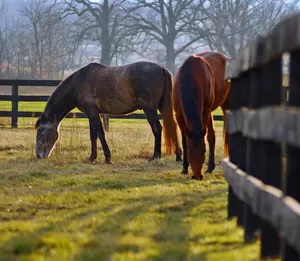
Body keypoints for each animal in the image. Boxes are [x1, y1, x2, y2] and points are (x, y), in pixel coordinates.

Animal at [34, 61, 182, 161]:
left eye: (40, 131)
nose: (38, 155)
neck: (78, 83)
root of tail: (161, 68)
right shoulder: (91, 114)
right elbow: (93, 134)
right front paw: (92, 157)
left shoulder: (93, 112)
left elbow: (99, 133)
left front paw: (107, 157)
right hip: (162, 107)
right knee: (173, 126)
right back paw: (178, 155)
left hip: (149, 109)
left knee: (157, 129)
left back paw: (156, 156)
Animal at [172, 51, 231, 180]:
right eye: (190, 151)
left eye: (204, 150)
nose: (198, 176)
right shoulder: (179, 115)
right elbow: (184, 140)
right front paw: (184, 168)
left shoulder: (205, 111)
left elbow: (207, 137)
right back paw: (210, 167)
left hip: (225, 105)